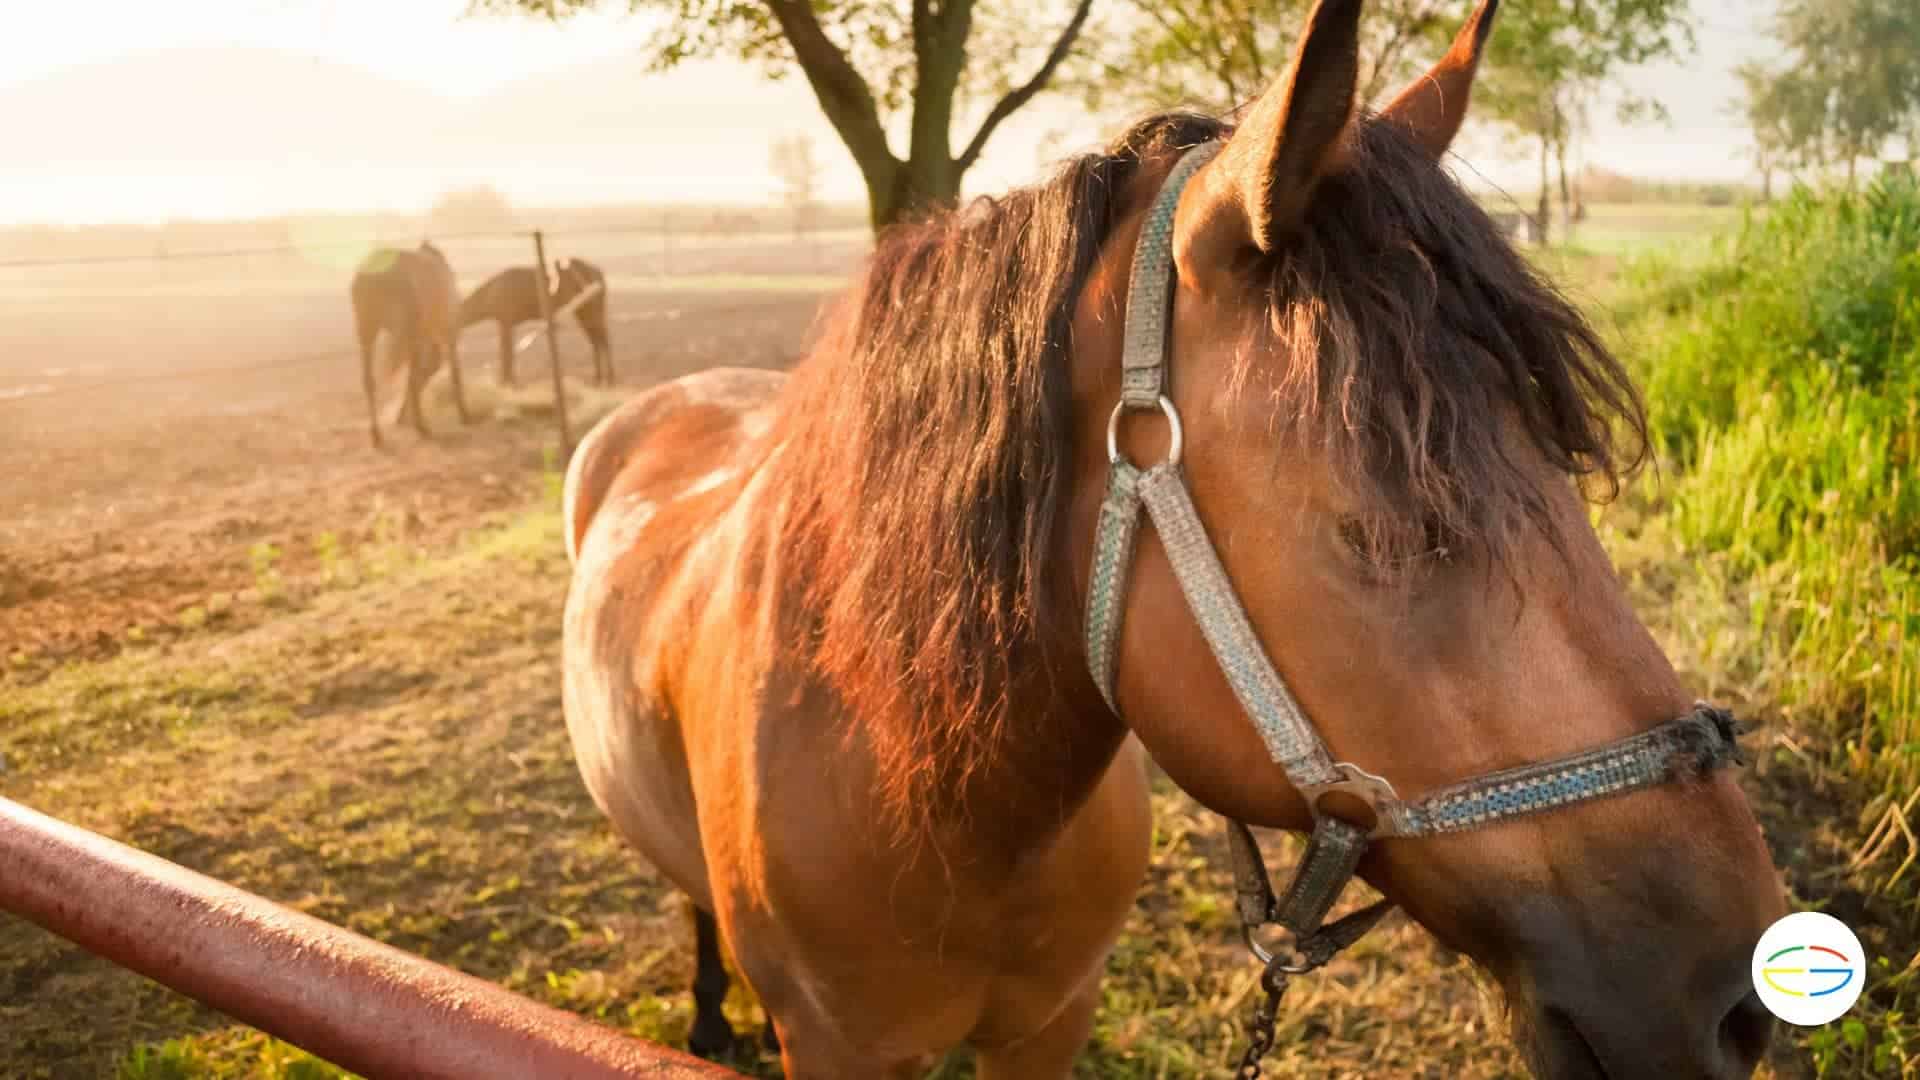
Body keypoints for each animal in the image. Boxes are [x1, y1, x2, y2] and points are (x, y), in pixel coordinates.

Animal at [349, 241, 469, 448]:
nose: (401, 418)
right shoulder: (447, 333)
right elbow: (452, 373)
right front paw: (464, 415)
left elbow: (414, 377)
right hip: (407, 334)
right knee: (410, 378)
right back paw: (421, 427)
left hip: (367, 332)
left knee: (369, 380)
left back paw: (377, 435)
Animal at [457, 257, 613, 388]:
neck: (489, 295)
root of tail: (600, 274)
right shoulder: (507, 324)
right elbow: (508, 353)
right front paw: (508, 381)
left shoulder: (505, 322)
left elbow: (506, 353)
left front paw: (508, 382)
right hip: (583, 311)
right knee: (596, 340)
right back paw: (598, 379)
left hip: (591, 311)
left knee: (603, 339)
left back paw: (610, 379)